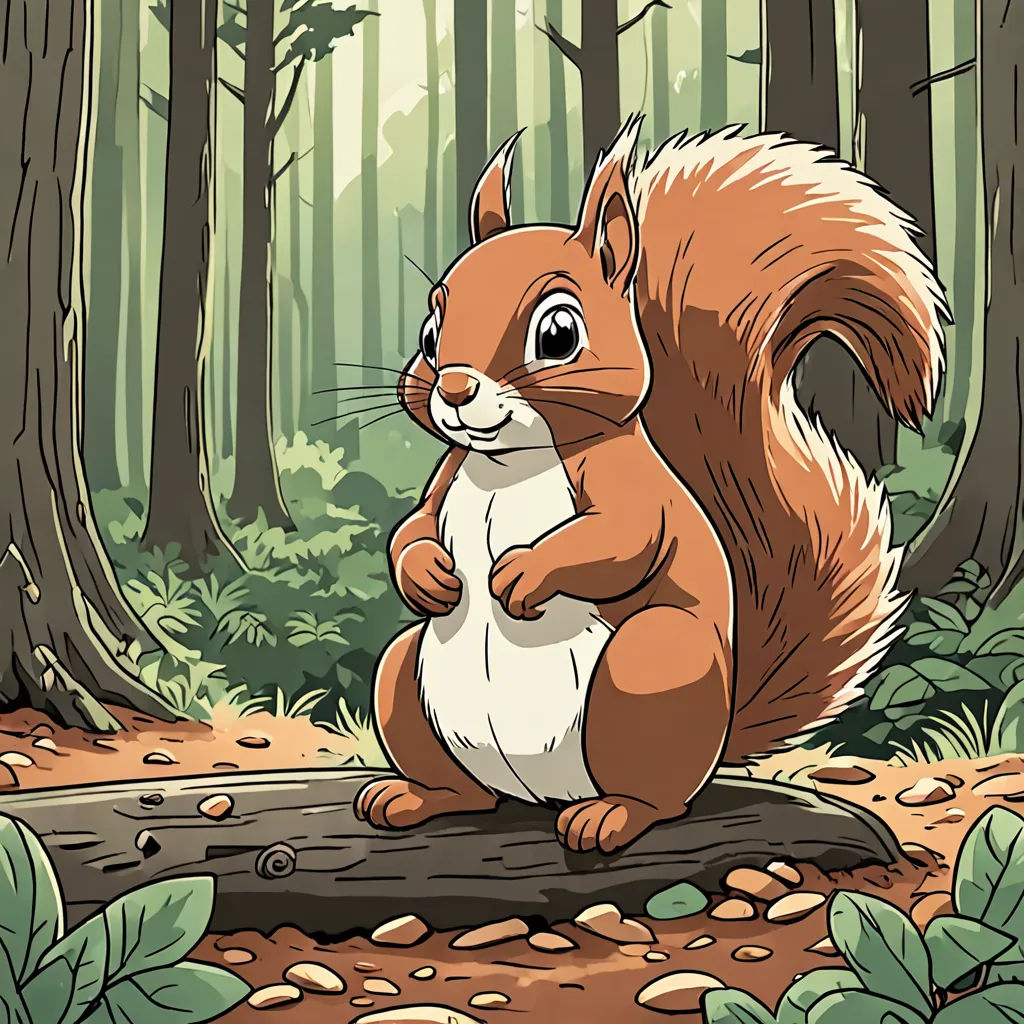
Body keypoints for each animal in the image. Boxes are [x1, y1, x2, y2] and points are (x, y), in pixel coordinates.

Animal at [353, 117, 947, 854]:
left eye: (559, 333)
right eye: (430, 331)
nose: (455, 388)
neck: (507, 462)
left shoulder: (632, 488)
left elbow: (621, 540)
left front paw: (520, 576)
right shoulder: (446, 477)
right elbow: (412, 528)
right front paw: (428, 574)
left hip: (649, 668)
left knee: (660, 796)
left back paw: (610, 816)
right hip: (405, 677)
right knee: (466, 785)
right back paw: (417, 796)